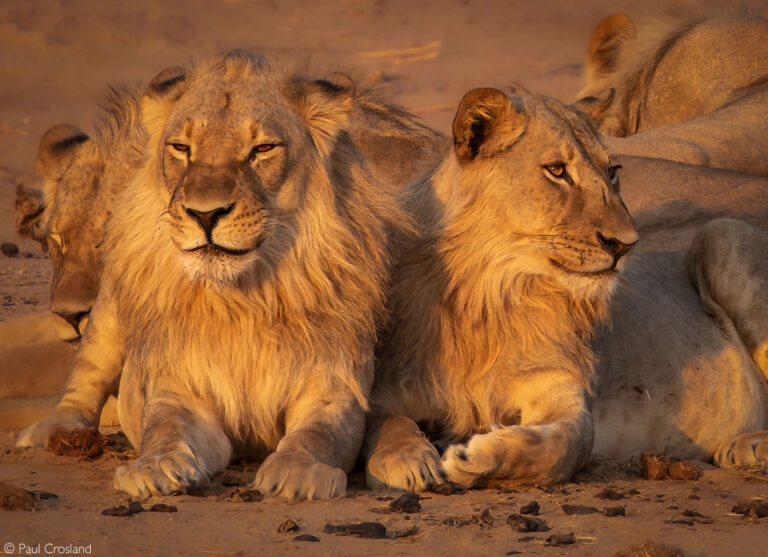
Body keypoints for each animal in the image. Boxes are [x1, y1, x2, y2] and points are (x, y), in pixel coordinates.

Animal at [17, 52, 408, 501]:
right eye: (182, 148)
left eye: (262, 148)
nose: (205, 214)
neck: (241, 297)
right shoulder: (180, 389)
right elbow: (165, 429)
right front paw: (153, 467)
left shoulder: (334, 388)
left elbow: (318, 434)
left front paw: (298, 471)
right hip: (110, 313)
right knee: (84, 379)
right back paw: (49, 431)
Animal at [365, 86, 768, 492]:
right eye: (557, 171)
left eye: (612, 171)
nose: (625, 244)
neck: (493, 293)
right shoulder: (390, 387)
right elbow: (384, 423)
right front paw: (405, 460)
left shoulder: (562, 394)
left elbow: (563, 447)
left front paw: (477, 457)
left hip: (724, 234)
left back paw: (747, 446)